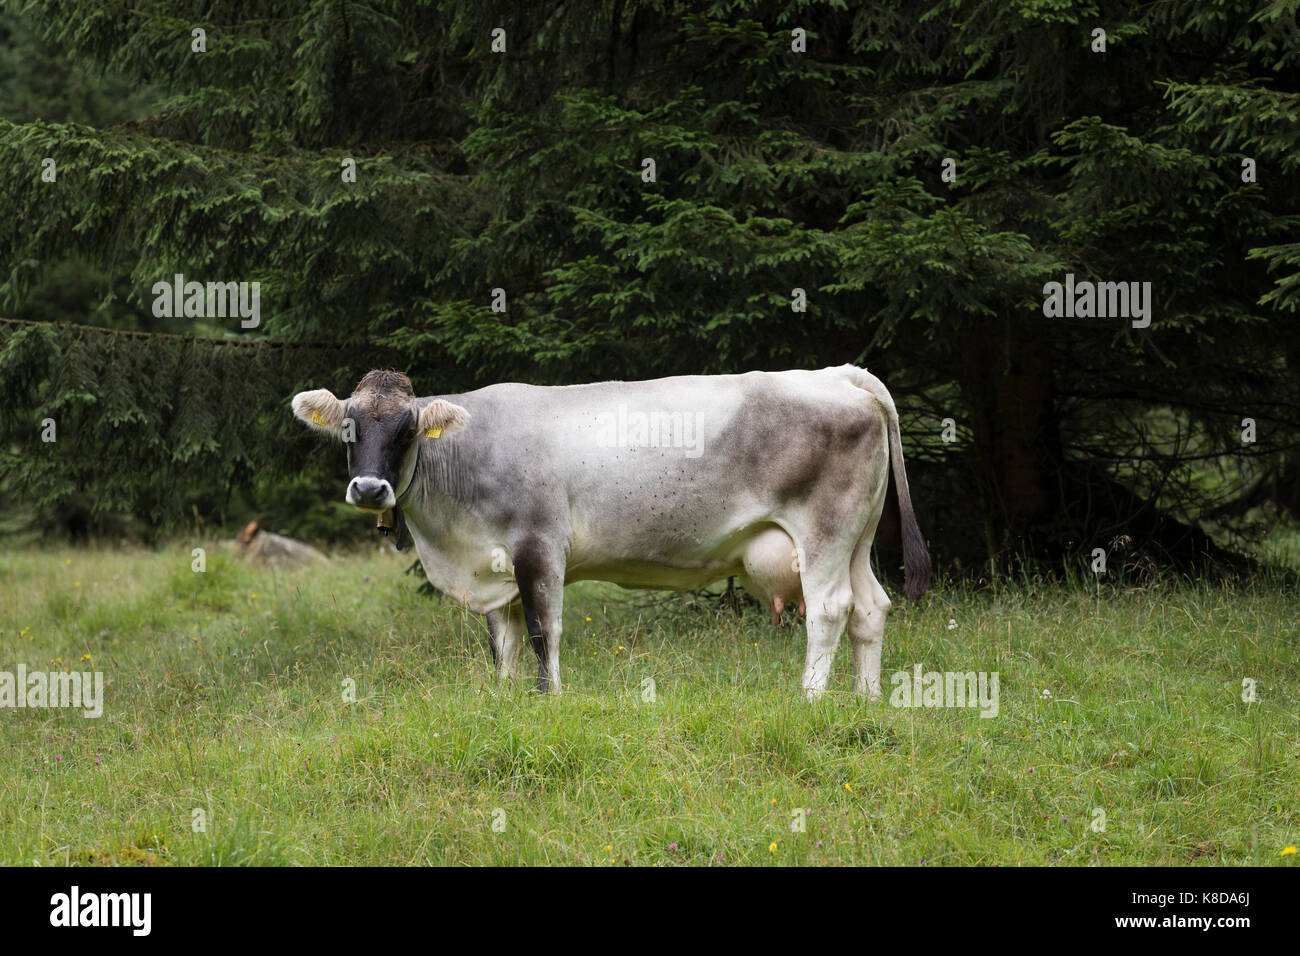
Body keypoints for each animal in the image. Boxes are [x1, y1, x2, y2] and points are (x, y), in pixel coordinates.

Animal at [291, 365, 929, 699]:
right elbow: (504, 642)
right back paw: (866, 697)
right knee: (871, 607)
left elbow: (544, 632)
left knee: (829, 609)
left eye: (406, 431)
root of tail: (837, 374)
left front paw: (548, 700)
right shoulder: (493, 565)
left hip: (824, 531)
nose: (368, 489)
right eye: (348, 429)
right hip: (857, 537)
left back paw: (811, 697)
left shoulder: (538, 546)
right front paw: (504, 698)